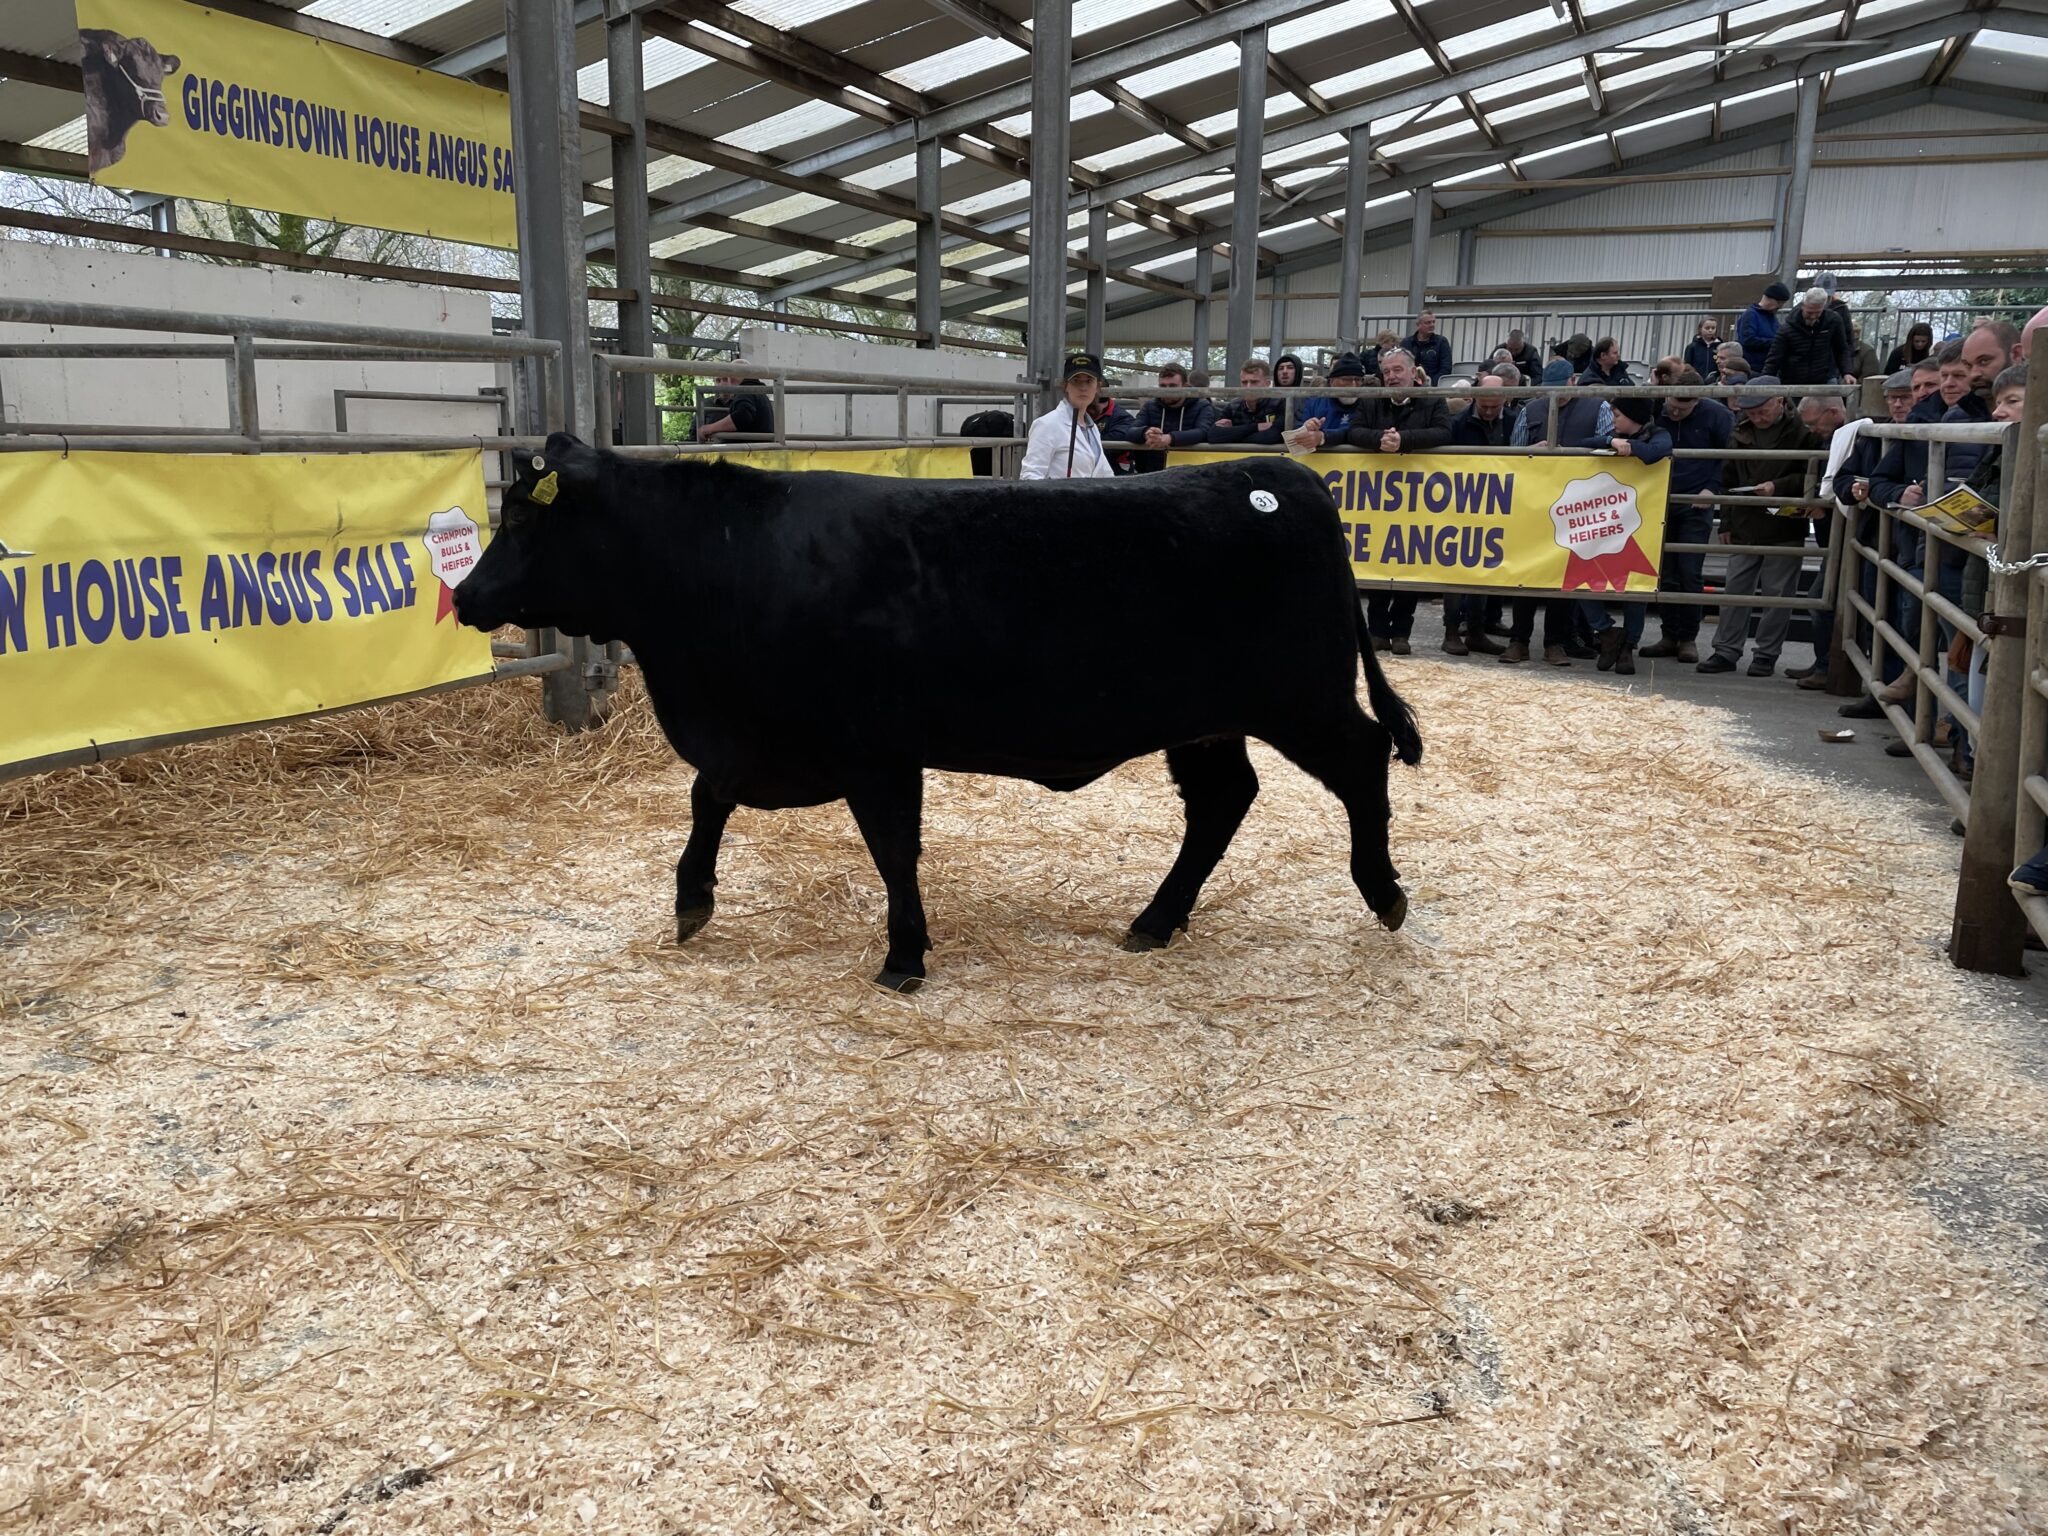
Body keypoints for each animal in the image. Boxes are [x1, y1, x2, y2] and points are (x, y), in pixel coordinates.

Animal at [455, 434, 1422, 991]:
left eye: (526, 521)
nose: (463, 595)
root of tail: (1281, 474)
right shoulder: (768, 739)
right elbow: (708, 800)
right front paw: (692, 902)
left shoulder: (870, 748)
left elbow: (891, 848)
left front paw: (904, 957)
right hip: (1207, 720)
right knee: (1223, 801)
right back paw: (1155, 921)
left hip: (1300, 698)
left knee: (1363, 758)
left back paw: (1383, 894)